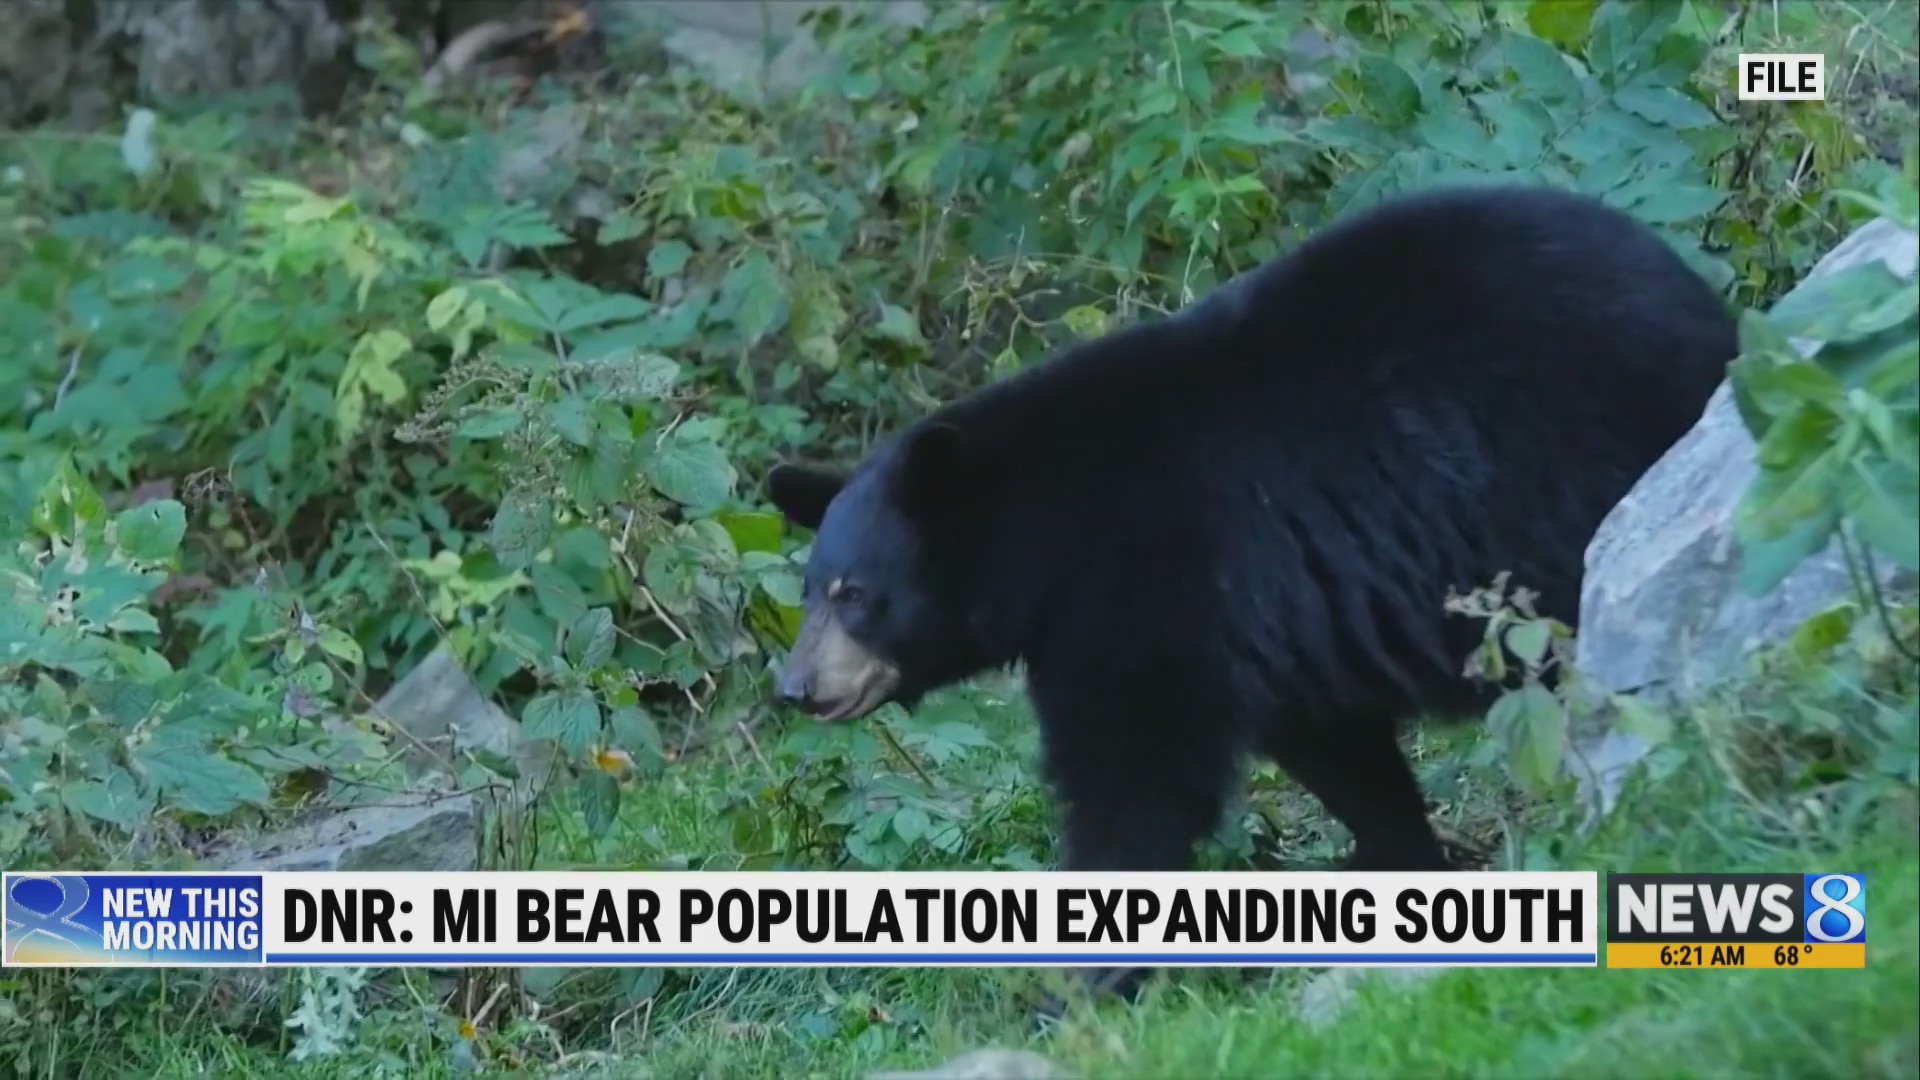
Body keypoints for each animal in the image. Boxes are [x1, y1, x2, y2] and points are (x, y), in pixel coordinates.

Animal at [764, 183, 1735, 1000]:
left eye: (857, 594)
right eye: (811, 590)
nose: (796, 686)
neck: (1043, 525)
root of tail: (1703, 302)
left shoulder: (1151, 578)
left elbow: (1137, 769)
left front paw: (1081, 983)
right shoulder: (1282, 618)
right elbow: (1336, 750)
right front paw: (1397, 867)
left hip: (1581, 463)